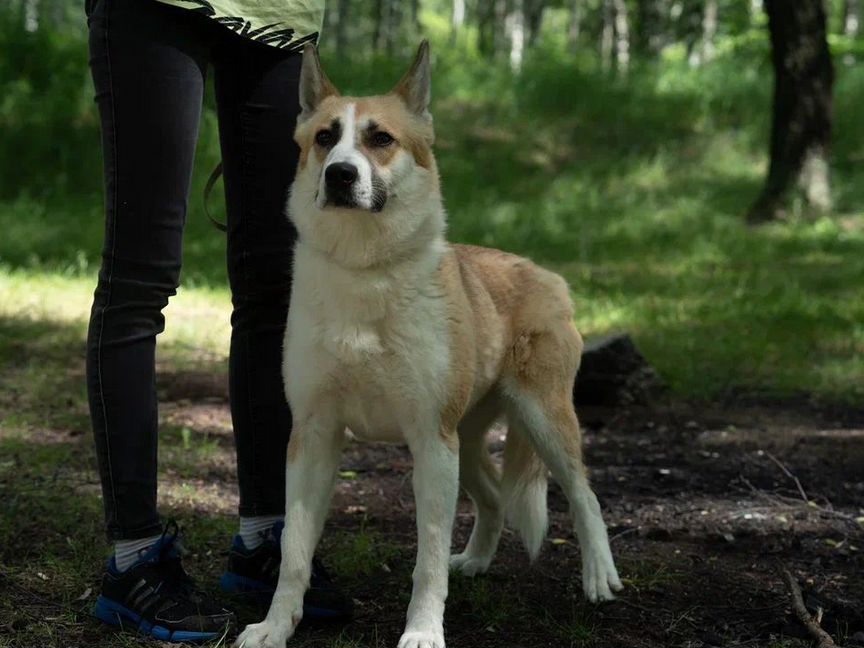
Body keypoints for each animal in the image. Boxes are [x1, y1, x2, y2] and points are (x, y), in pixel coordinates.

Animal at [236, 41, 620, 648]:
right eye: (324, 137)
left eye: (380, 139)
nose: (340, 175)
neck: (365, 271)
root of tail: (544, 273)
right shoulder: (314, 437)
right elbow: (293, 548)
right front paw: (276, 626)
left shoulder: (429, 442)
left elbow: (428, 557)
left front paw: (422, 631)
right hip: (466, 438)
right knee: (493, 499)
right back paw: (477, 561)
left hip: (541, 420)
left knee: (584, 494)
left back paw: (599, 576)